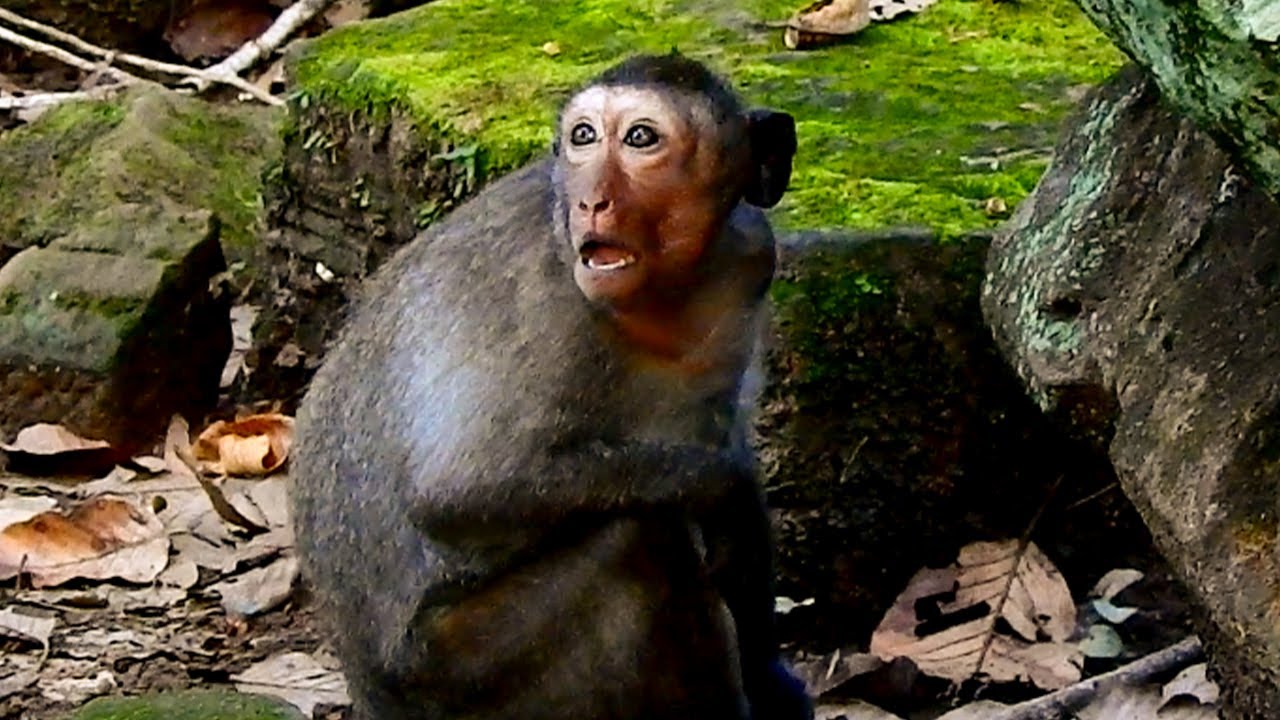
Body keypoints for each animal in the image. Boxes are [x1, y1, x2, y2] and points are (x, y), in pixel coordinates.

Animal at [290, 54, 809, 720]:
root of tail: (371, 693)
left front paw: (769, 667)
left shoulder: (750, 254)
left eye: (641, 138)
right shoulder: (550, 304)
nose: (590, 200)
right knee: (643, 539)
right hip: (466, 678)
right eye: (583, 137)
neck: (666, 299)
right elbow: (456, 490)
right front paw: (726, 491)